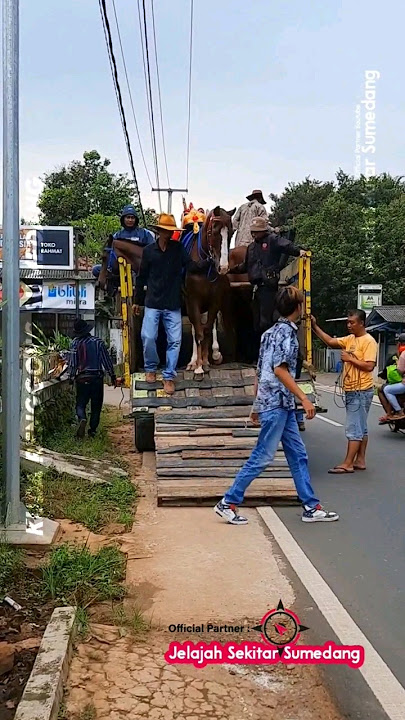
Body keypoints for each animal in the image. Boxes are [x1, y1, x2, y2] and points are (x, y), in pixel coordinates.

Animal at [182, 205, 235, 376]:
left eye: (231, 233)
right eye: (213, 232)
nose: (223, 267)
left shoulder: (214, 300)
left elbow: (207, 330)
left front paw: (205, 362)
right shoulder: (192, 300)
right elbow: (198, 333)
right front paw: (198, 367)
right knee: (195, 328)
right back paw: (193, 361)